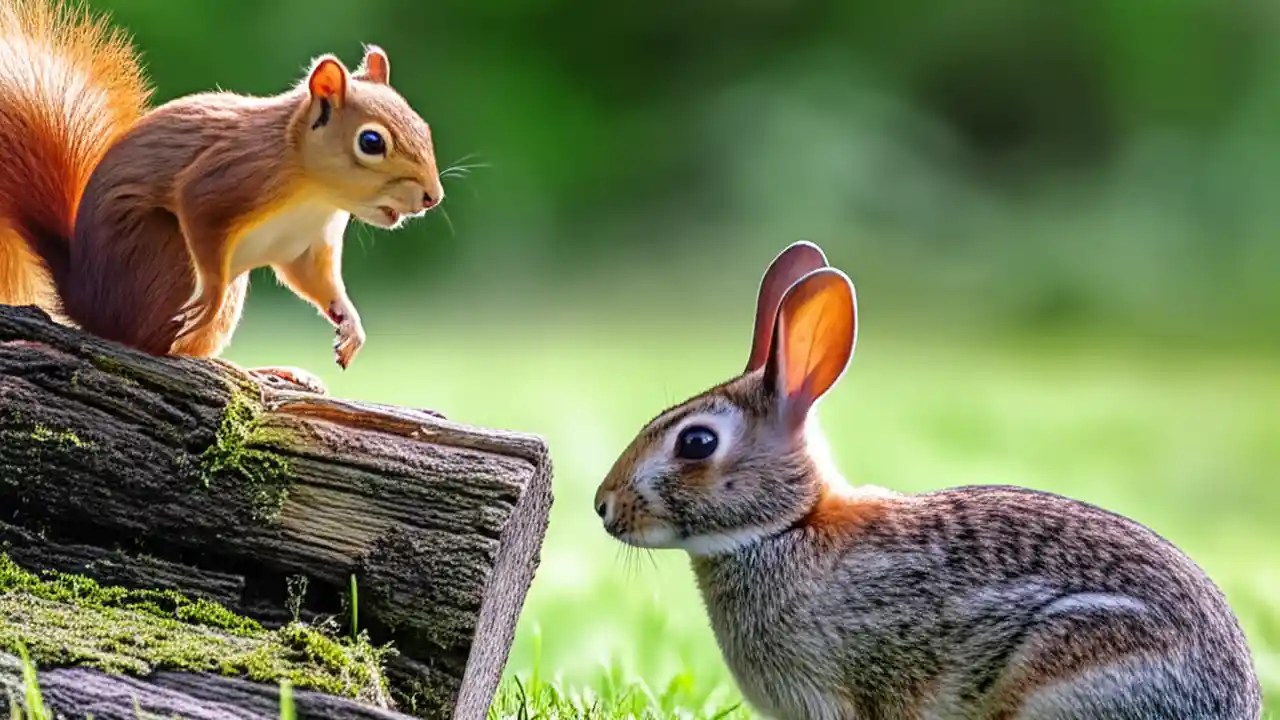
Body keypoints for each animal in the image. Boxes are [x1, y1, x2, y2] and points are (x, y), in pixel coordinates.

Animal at [0, 0, 444, 386]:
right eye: (371, 142)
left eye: (422, 125)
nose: (432, 197)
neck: (314, 192)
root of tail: (85, 302)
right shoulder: (229, 177)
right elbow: (198, 210)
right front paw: (208, 298)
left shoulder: (309, 241)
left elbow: (315, 279)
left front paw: (350, 324)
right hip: (167, 253)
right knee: (151, 344)